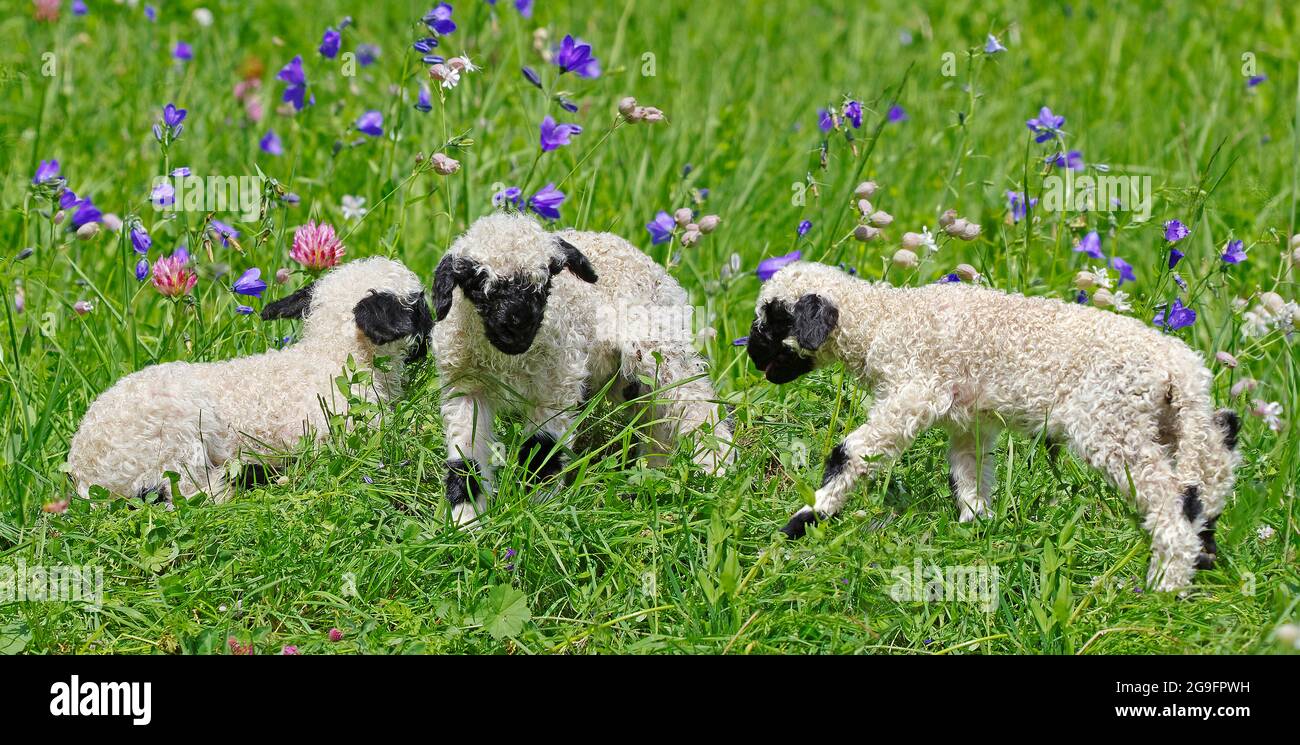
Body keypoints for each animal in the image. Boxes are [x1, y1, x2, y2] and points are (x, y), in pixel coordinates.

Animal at [67, 257, 431, 504]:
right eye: (420, 307)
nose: (428, 345)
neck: (331, 355)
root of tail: (84, 471)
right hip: (177, 436)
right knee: (188, 492)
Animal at [430, 212, 734, 526]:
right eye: (478, 285)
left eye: (545, 283)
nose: (519, 327)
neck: (508, 361)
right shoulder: (465, 387)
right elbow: (466, 456)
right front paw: (465, 519)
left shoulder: (556, 384)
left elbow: (543, 453)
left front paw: (535, 513)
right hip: (629, 379)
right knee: (657, 418)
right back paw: (654, 474)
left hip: (657, 346)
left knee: (693, 400)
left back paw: (714, 468)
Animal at [745, 260, 1240, 591]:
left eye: (772, 321)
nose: (750, 355)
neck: (883, 319)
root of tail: (1181, 368)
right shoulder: (970, 421)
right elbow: (969, 476)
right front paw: (976, 530)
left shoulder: (914, 390)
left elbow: (851, 452)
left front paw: (804, 520)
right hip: (1172, 423)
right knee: (1208, 475)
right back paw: (1201, 557)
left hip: (1112, 422)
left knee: (1172, 498)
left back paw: (1163, 586)